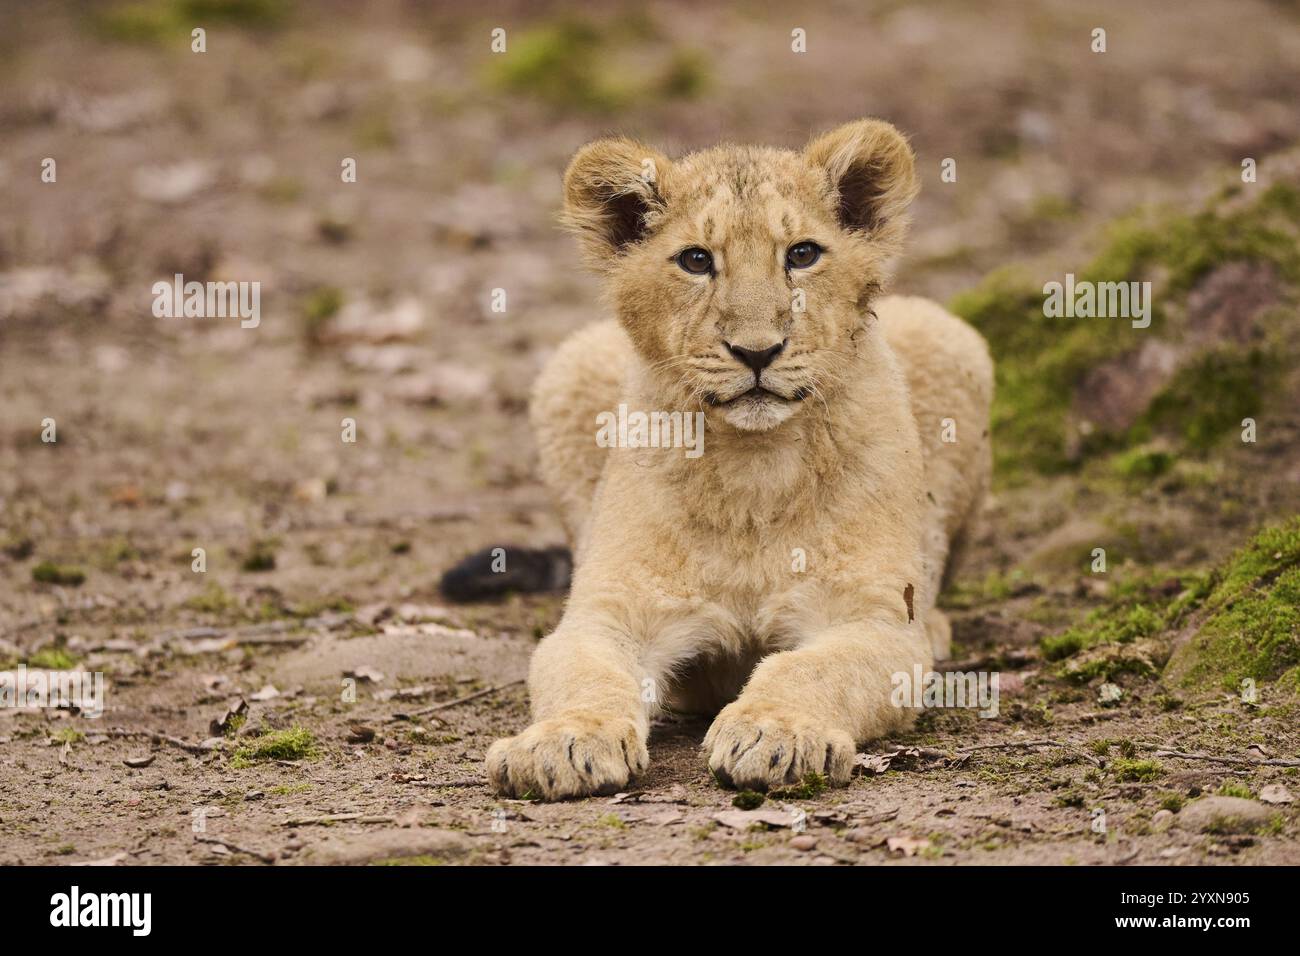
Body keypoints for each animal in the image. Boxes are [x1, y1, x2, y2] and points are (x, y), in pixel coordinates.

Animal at [463, 119, 993, 799]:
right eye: (696, 260)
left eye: (802, 254)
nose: (757, 351)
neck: (752, 465)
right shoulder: (607, 612)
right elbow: (584, 672)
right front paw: (565, 742)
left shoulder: (876, 622)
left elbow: (809, 669)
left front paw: (774, 733)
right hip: (569, 367)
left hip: (948, 337)